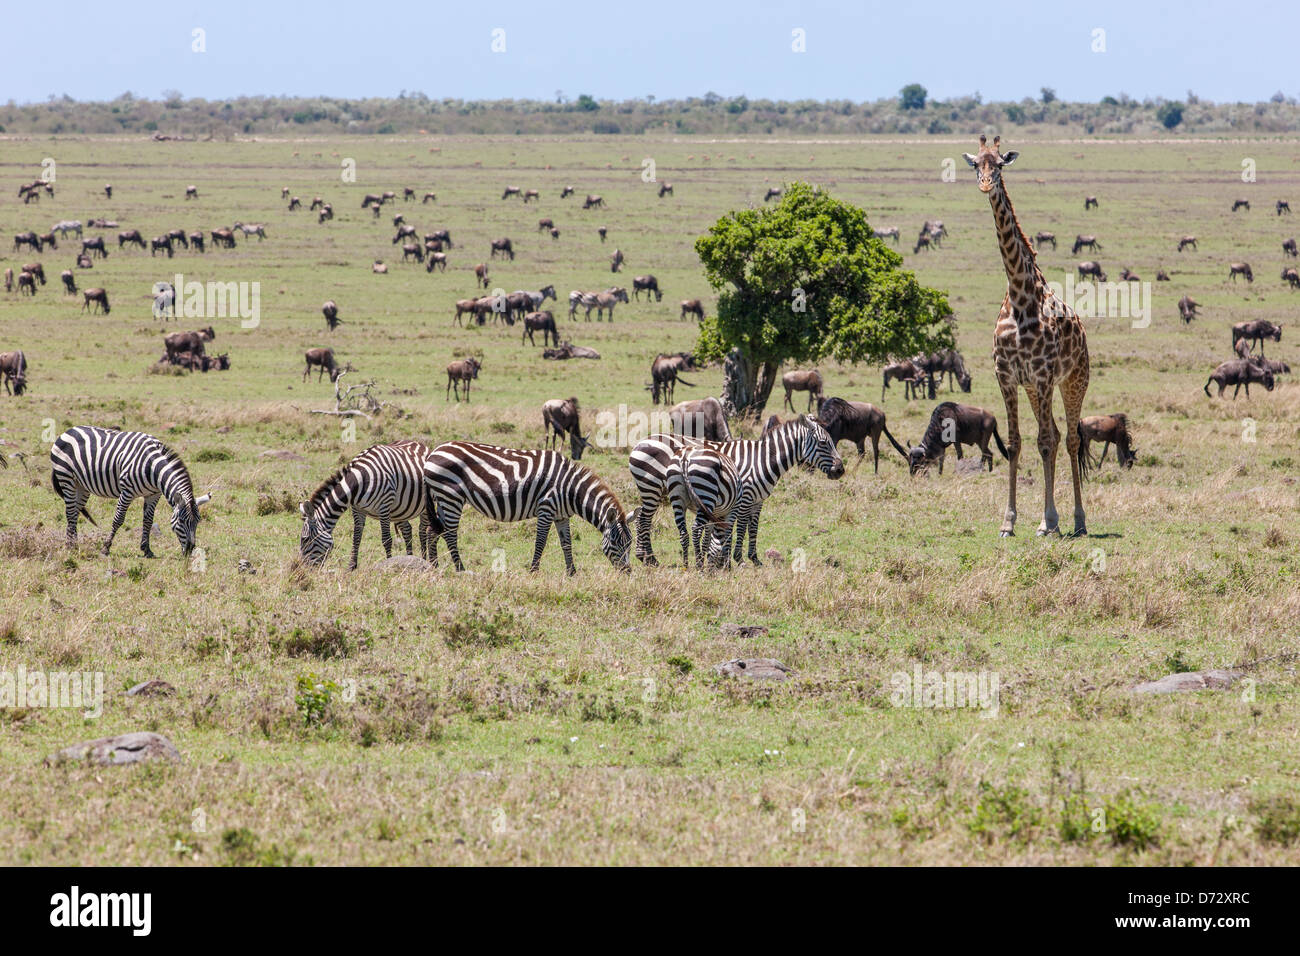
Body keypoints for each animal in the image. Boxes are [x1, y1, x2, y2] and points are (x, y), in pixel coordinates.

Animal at [50, 426, 210, 556]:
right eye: (182, 521)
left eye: (198, 521)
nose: (190, 550)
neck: (153, 469)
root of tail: (69, 430)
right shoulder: (127, 491)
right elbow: (118, 519)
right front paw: (106, 548)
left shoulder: (153, 494)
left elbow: (148, 521)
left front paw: (147, 550)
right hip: (66, 478)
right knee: (70, 511)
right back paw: (70, 546)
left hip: (81, 485)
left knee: (75, 511)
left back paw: (73, 543)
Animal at [298, 441, 438, 570]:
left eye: (305, 539)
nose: (302, 569)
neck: (359, 480)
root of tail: (420, 444)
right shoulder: (357, 509)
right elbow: (356, 537)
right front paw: (351, 566)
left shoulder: (384, 505)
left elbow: (386, 539)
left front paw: (389, 563)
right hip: (399, 509)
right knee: (407, 529)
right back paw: (409, 557)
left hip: (424, 505)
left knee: (422, 530)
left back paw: (424, 559)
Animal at [422, 441, 632, 574]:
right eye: (616, 542)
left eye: (630, 543)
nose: (628, 572)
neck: (570, 489)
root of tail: (434, 452)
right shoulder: (546, 508)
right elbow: (541, 542)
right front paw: (533, 571)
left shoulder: (562, 515)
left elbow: (567, 543)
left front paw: (572, 572)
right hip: (451, 496)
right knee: (450, 533)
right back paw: (460, 569)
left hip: (443, 498)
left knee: (432, 531)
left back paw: (434, 566)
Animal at [628, 415, 844, 567]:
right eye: (824, 443)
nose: (840, 470)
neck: (762, 460)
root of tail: (641, 441)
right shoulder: (745, 497)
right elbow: (739, 528)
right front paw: (736, 559)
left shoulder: (757, 500)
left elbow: (753, 528)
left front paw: (754, 558)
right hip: (652, 488)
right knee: (644, 520)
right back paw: (649, 559)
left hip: (658, 492)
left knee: (641, 519)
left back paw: (646, 557)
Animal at [962, 135, 1090, 537]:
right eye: (977, 164)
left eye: (1000, 164)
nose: (986, 184)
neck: (1020, 295)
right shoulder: (1007, 376)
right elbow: (1016, 443)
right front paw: (1009, 521)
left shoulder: (1045, 375)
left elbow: (1046, 442)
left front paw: (1049, 521)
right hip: (1035, 389)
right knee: (1053, 436)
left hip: (1074, 380)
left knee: (1069, 439)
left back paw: (1076, 520)